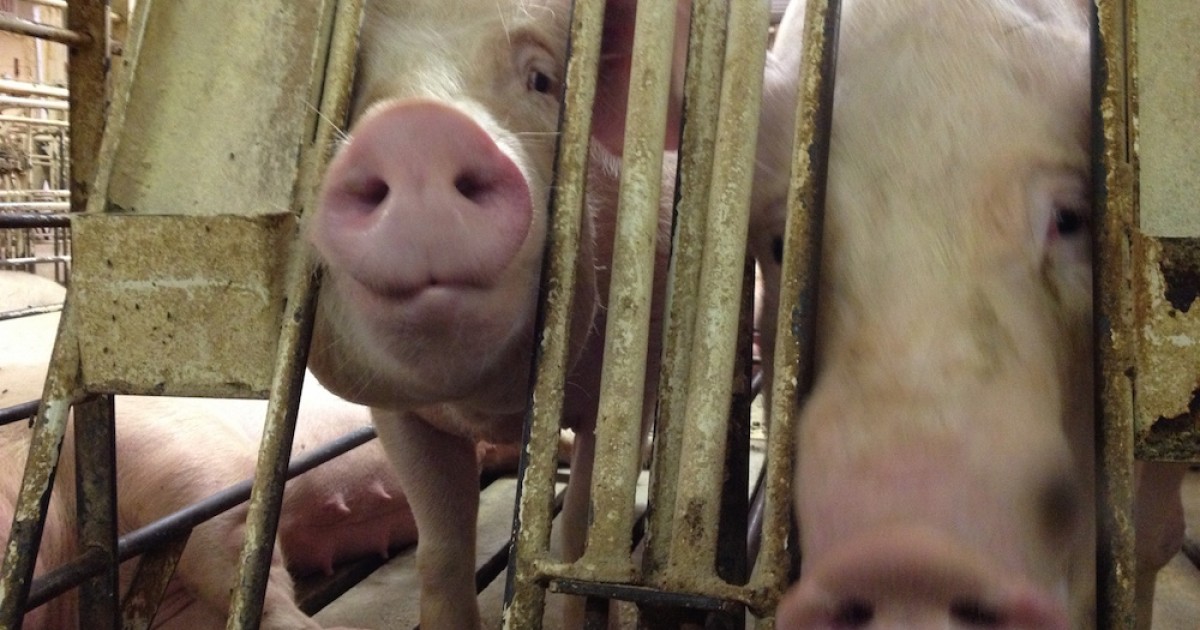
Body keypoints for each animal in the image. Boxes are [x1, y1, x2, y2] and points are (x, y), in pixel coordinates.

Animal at [305, 0, 686, 627]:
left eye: (543, 81)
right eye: (348, 85)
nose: (417, 127)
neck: (487, 408)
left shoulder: (636, 372)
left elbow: (579, 535)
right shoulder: (397, 414)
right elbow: (439, 547)